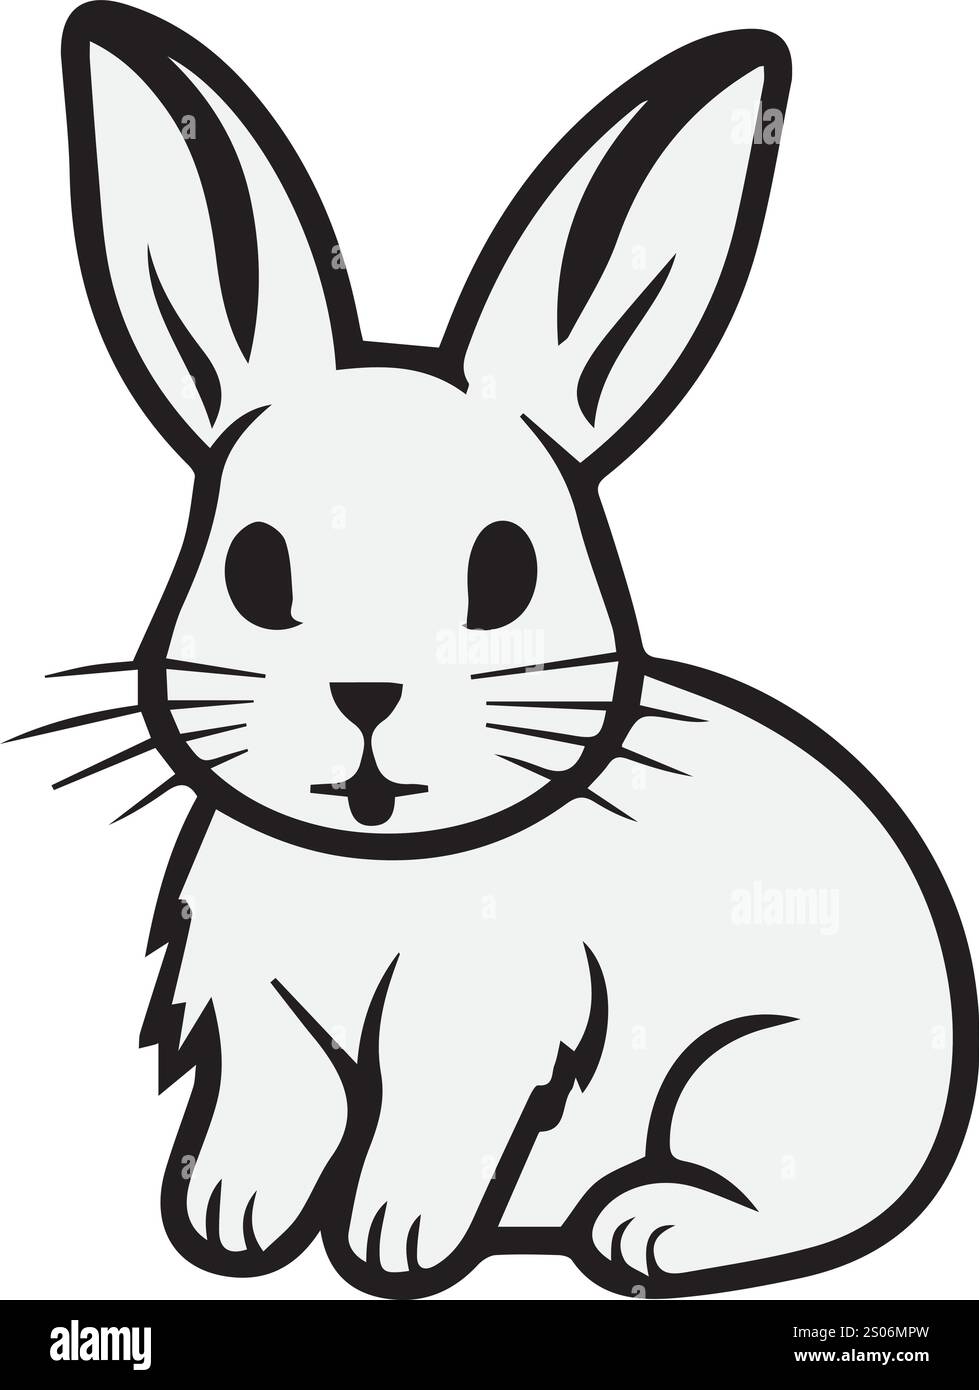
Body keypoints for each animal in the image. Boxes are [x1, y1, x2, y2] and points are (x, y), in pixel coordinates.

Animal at [34, 0, 973, 1299]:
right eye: (255, 570)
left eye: (505, 573)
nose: (365, 695)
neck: (374, 865)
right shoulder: (263, 1013)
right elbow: (274, 1110)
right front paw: (230, 1223)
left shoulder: (484, 1020)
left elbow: (430, 1121)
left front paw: (392, 1243)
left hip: (752, 1075)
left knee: (800, 1196)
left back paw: (648, 1226)